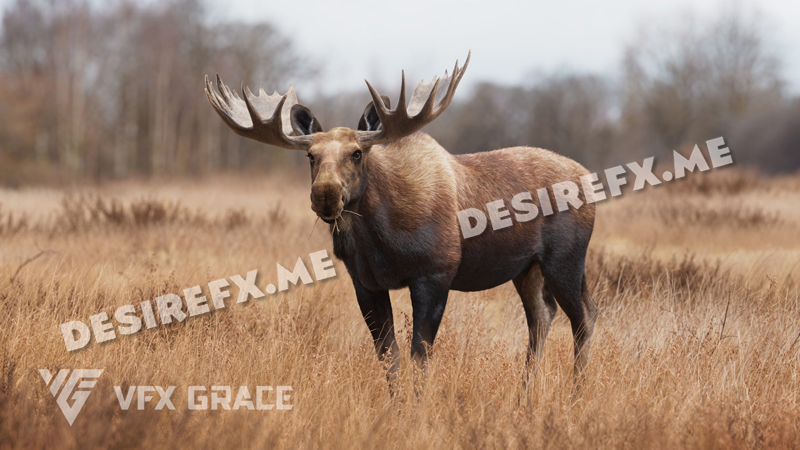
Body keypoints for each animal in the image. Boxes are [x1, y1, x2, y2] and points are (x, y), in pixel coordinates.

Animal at [205, 52, 599, 389]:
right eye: (311, 155)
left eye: (357, 153)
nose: (325, 195)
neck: (380, 239)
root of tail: (588, 178)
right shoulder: (365, 283)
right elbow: (388, 356)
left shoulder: (434, 274)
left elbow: (419, 356)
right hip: (527, 269)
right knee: (542, 318)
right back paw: (526, 394)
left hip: (565, 260)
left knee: (584, 317)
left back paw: (575, 393)